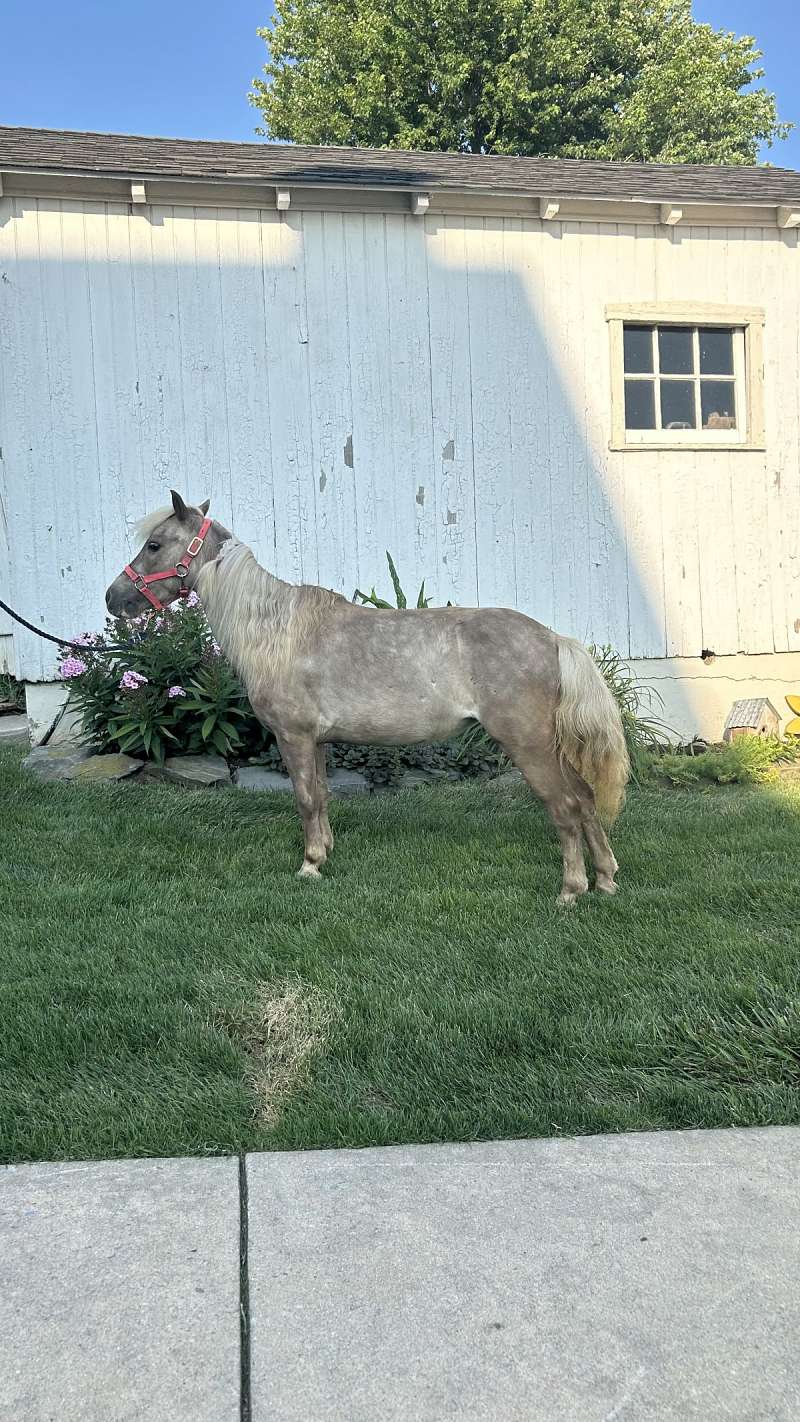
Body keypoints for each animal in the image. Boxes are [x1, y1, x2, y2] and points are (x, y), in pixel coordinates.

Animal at [105, 491, 629, 903]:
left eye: (154, 545)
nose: (114, 599)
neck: (277, 629)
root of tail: (552, 639)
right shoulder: (316, 741)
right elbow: (320, 795)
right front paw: (325, 854)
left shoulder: (293, 736)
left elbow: (304, 799)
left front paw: (309, 865)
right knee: (585, 799)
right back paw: (605, 879)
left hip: (528, 745)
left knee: (565, 807)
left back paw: (571, 890)